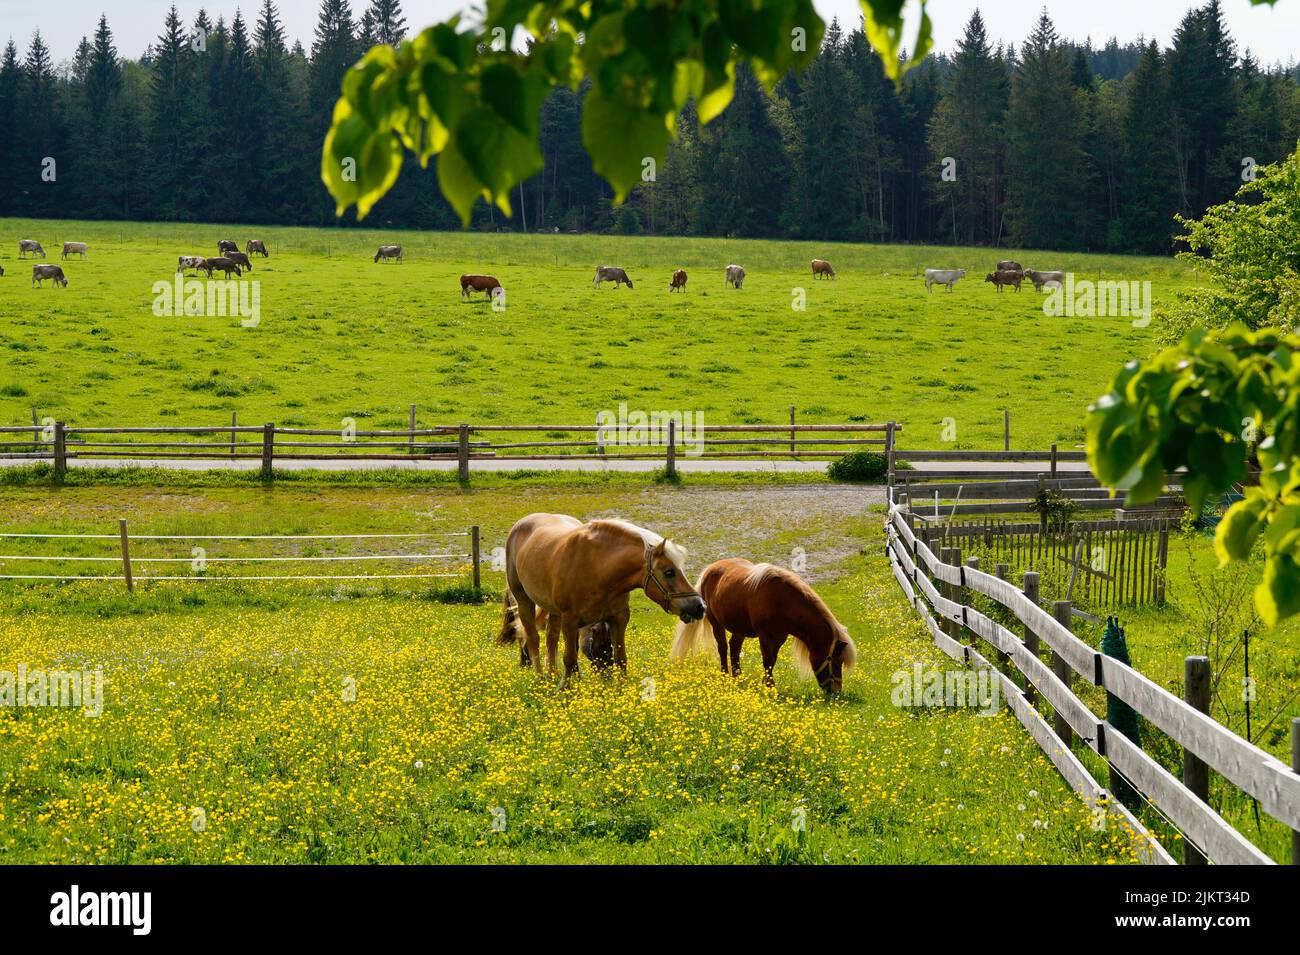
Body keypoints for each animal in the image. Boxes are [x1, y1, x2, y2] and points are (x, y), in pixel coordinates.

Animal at [498, 514, 705, 687]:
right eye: (669, 572)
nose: (699, 607)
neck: (598, 567)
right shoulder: (570, 620)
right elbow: (569, 659)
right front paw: (565, 690)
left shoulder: (618, 619)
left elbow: (621, 659)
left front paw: (621, 692)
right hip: (524, 600)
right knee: (533, 638)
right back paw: (541, 678)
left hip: (553, 610)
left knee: (551, 639)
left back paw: (552, 675)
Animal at [670, 558, 856, 694]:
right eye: (834, 660)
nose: (836, 691)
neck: (781, 600)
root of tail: (710, 569)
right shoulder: (765, 635)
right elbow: (767, 661)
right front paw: (769, 687)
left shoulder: (780, 637)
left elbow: (772, 661)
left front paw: (766, 683)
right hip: (716, 623)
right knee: (723, 648)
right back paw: (725, 675)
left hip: (740, 628)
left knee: (734, 648)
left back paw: (738, 678)